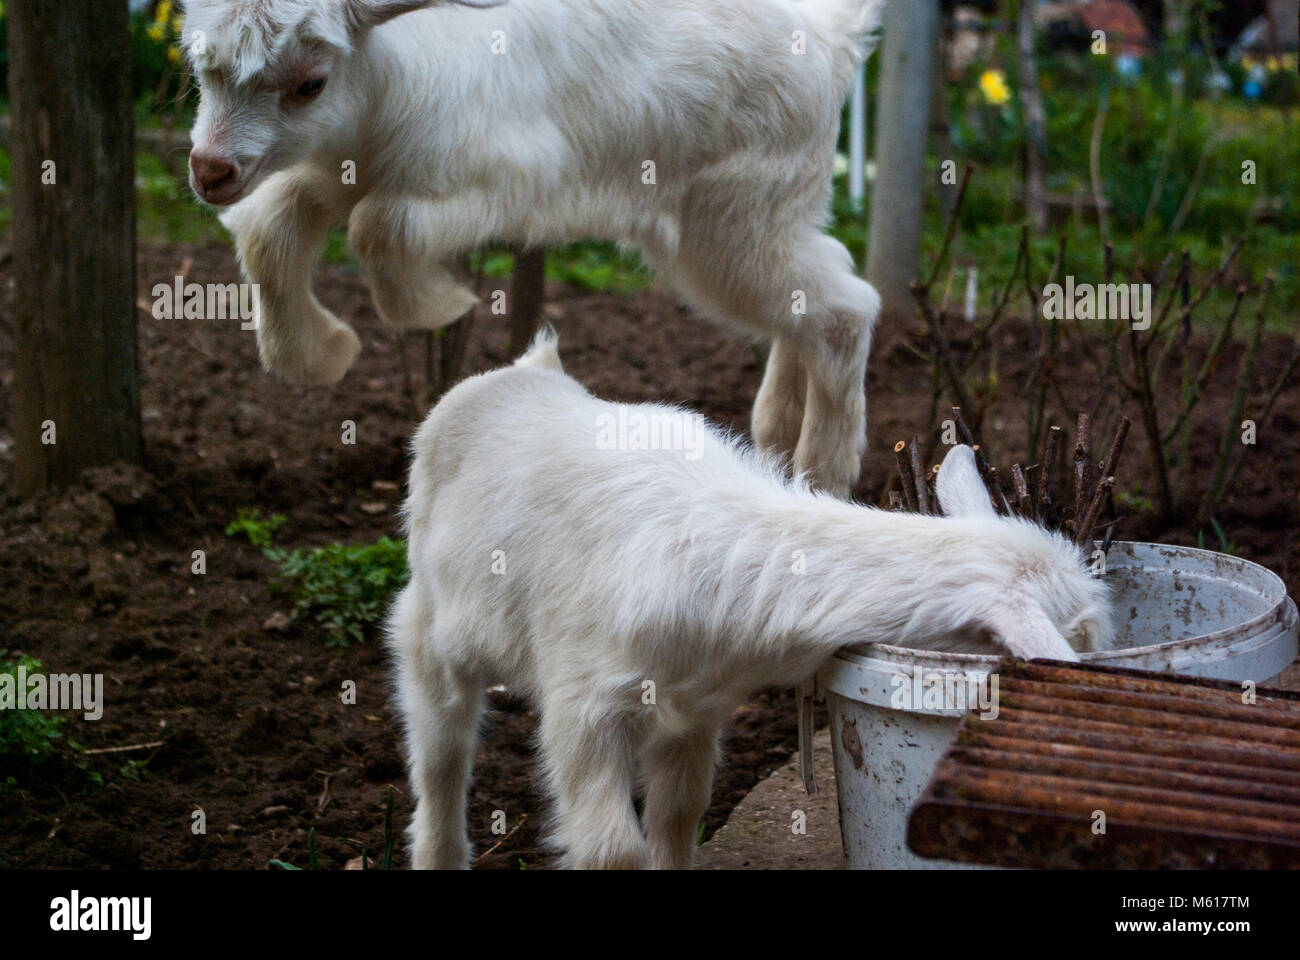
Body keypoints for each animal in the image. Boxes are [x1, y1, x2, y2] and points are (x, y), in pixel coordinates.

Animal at [182, 0, 887, 499]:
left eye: (311, 83)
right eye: (201, 68)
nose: (209, 171)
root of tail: (831, 38)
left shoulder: (501, 182)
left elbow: (381, 227)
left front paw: (437, 306)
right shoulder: (337, 170)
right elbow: (267, 227)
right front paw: (319, 356)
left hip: (732, 222)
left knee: (847, 305)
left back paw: (822, 478)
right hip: (764, 219)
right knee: (819, 287)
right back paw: (774, 439)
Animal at [388, 332, 1114, 869]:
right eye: (1077, 637)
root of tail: (523, 370)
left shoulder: (694, 715)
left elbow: (678, 822)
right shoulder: (583, 707)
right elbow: (612, 849)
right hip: (429, 621)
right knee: (441, 751)